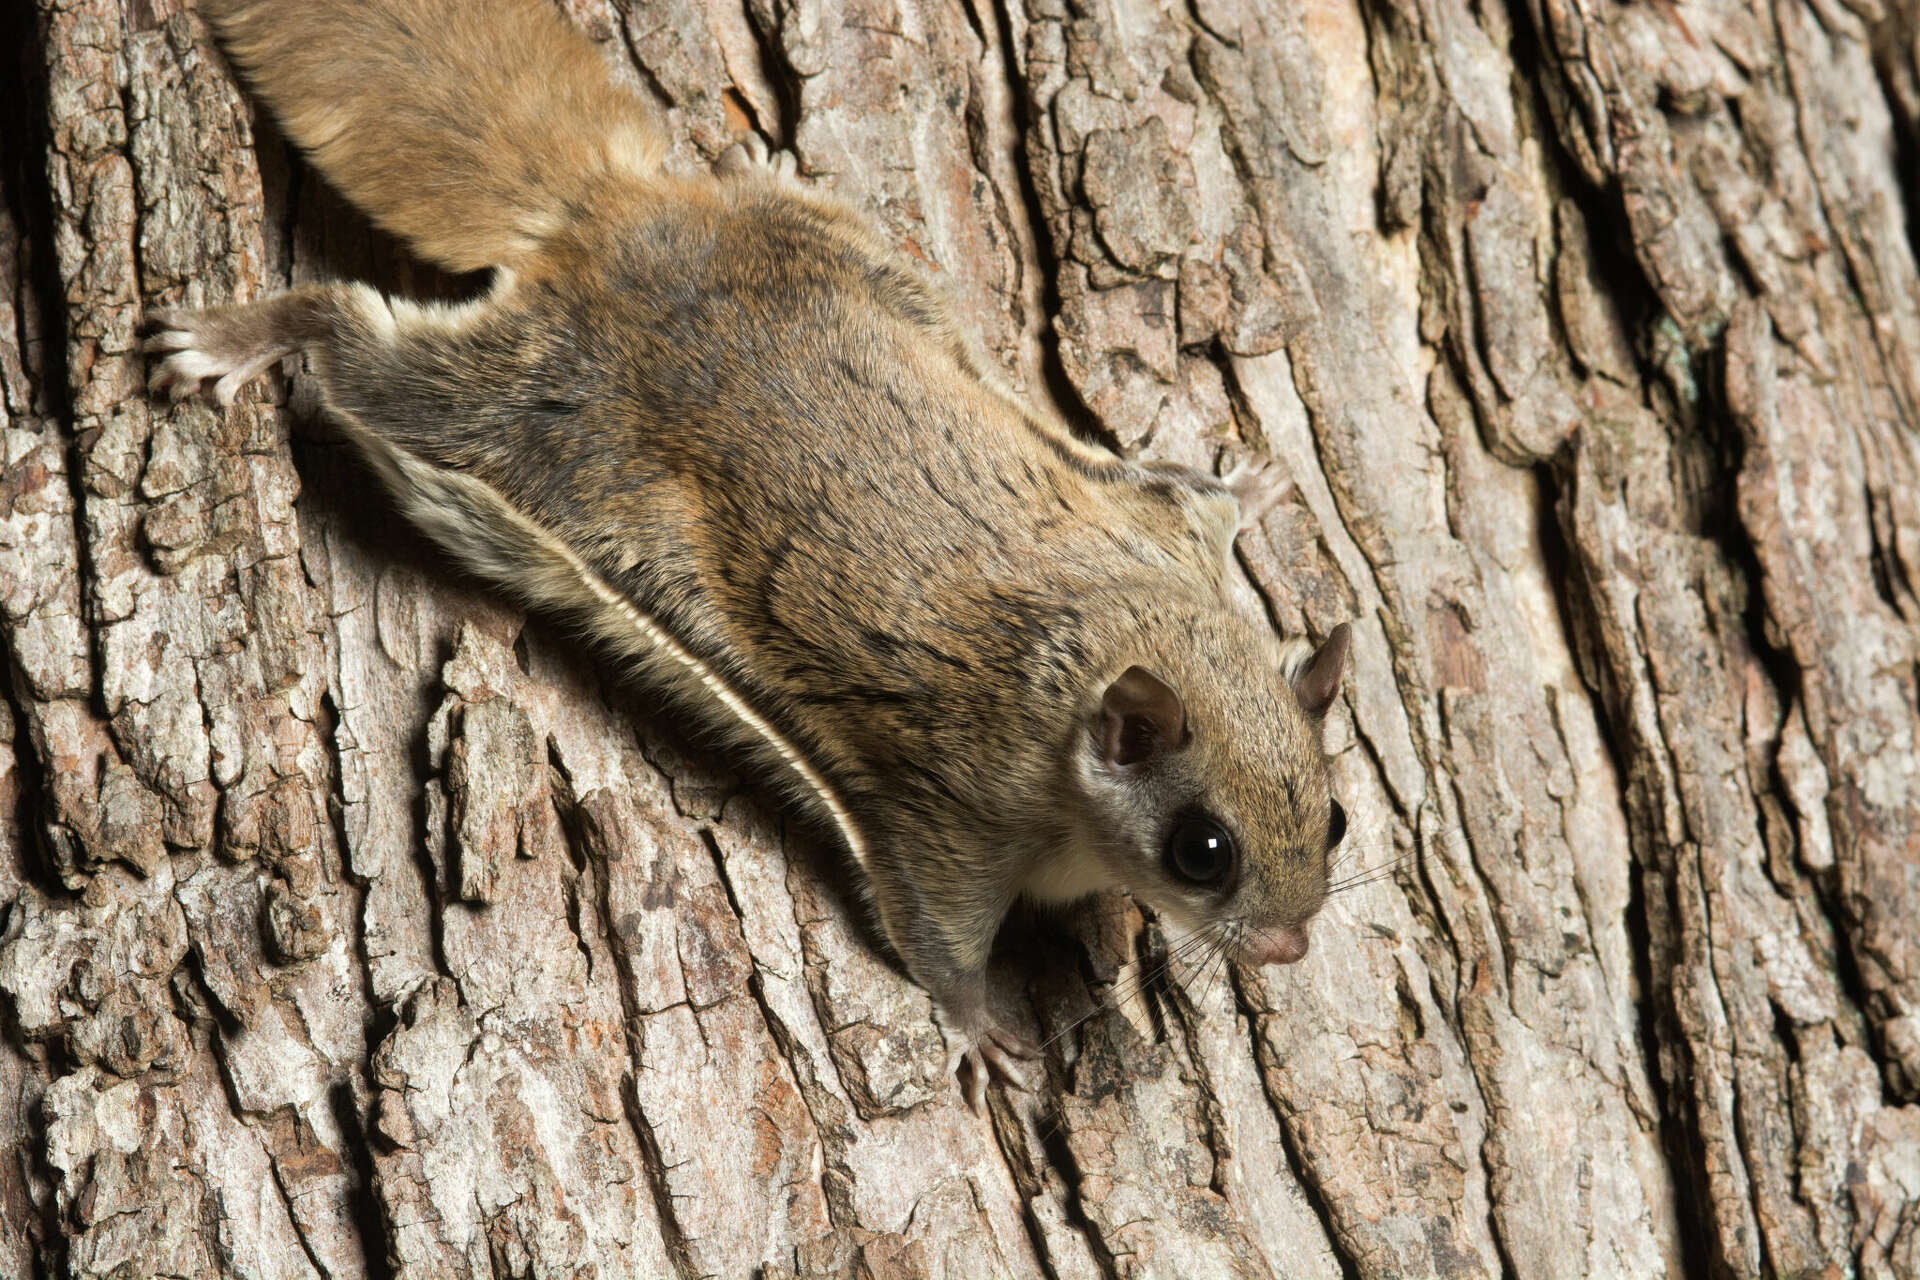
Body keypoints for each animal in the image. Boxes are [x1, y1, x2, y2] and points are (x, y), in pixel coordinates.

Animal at [146, 0, 1353, 1109]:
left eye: (1335, 817)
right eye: (1203, 850)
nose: (1290, 946)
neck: (1108, 636)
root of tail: (604, 219)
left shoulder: (1156, 531)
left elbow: (1193, 498)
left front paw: (1252, 488)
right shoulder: (955, 806)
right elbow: (935, 932)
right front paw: (980, 1028)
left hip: (836, 248)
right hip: (512, 418)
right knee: (352, 341)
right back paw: (244, 338)